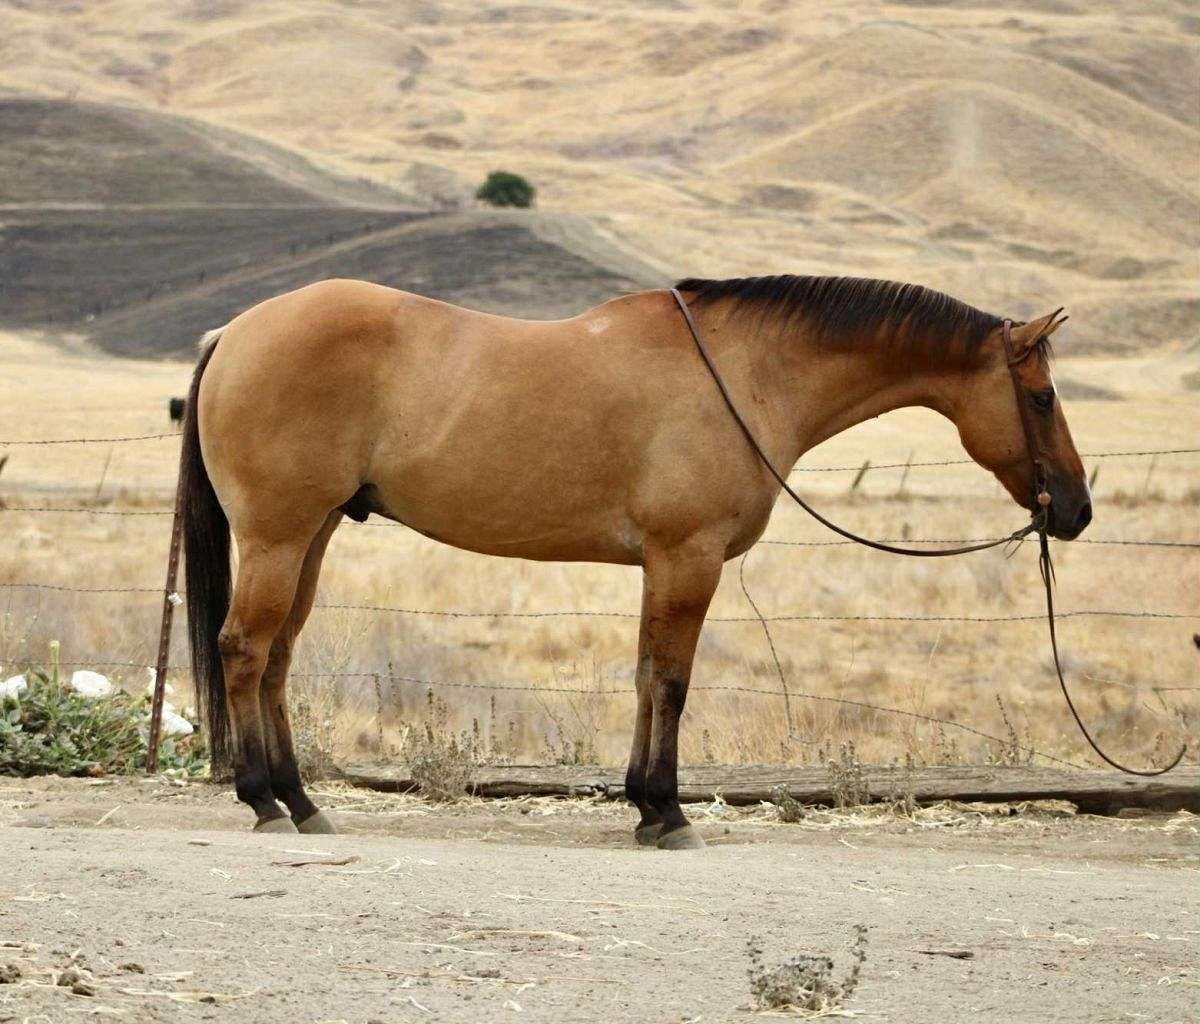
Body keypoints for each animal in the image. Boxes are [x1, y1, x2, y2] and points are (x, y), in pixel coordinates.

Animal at [180, 274, 1089, 848]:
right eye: (1041, 396)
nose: (1076, 510)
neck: (744, 373)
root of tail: (235, 331)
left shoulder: (663, 566)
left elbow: (648, 675)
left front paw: (644, 805)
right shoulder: (689, 560)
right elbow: (673, 682)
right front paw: (669, 812)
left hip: (314, 536)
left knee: (276, 659)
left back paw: (298, 798)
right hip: (279, 536)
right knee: (245, 649)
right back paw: (266, 799)